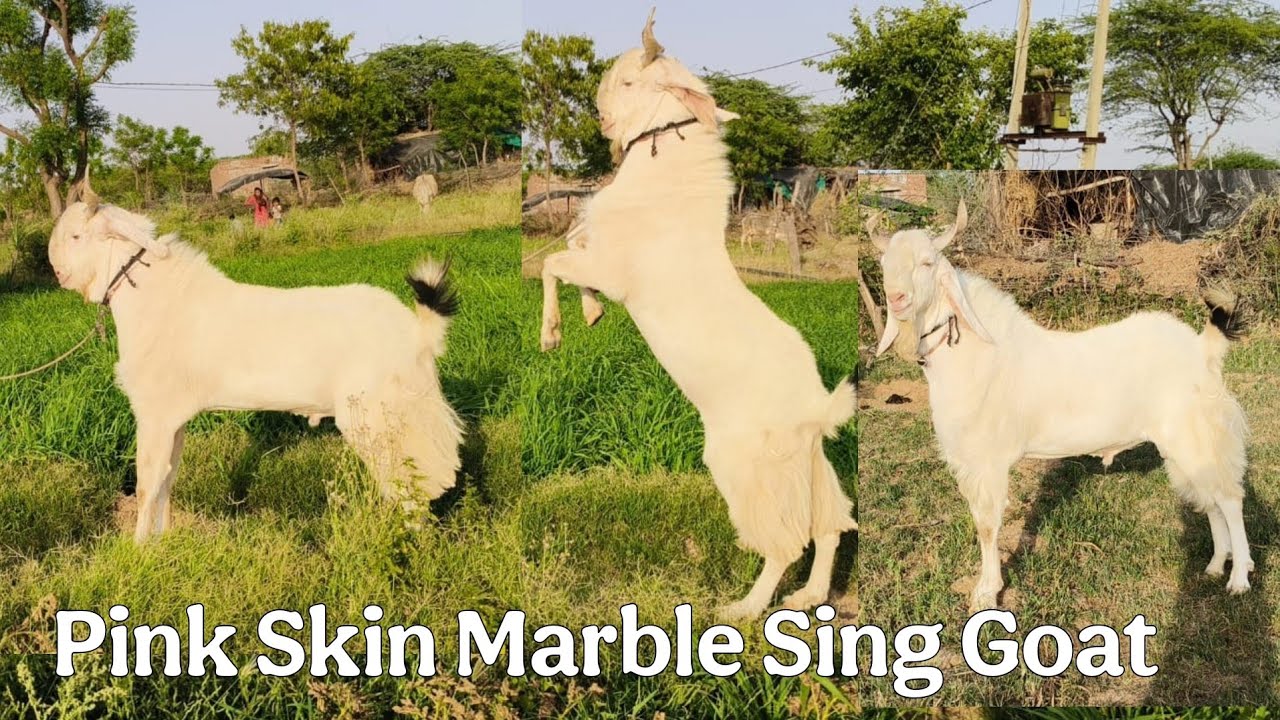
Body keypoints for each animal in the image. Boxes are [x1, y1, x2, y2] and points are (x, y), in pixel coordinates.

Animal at [47, 188, 463, 543]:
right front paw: (163, 541)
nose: (57, 274)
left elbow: (147, 484)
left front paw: (138, 551)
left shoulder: (154, 414)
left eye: (76, 237)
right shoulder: (173, 418)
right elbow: (167, 478)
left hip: (383, 417)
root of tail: (419, 332)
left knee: (414, 478)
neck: (156, 297)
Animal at [538, 10, 857, 619]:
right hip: (811, 469)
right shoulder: (598, 251)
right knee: (830, 527)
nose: (600, 114)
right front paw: (590, 313)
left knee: (786, 543)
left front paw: (553, 334)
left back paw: (744, 608)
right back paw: (809, 595)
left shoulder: (614, 267)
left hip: (746, 466)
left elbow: (551, 261)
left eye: (630, 81)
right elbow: (569, 247)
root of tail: (815, 412)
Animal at [874, 200, 1251, 611]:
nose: (896, 299)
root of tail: (1202, 349)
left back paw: (1239, 579)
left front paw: (986, 592)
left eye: (927, 263)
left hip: (1196, 434)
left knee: (1230, 499)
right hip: (1182, 446)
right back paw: (1215, 566)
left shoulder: (988, 463)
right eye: (884, 264)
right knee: (1210, 501)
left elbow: (988, 526)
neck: (980, 355)